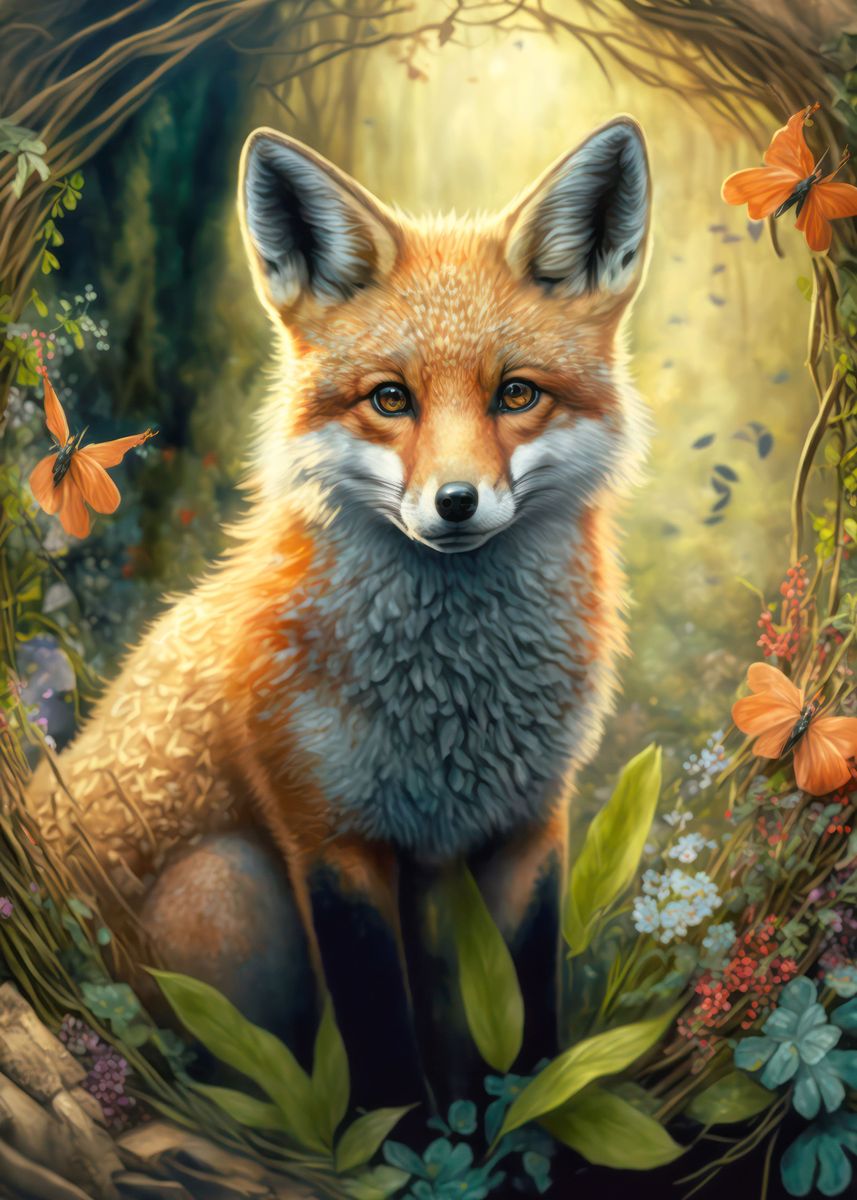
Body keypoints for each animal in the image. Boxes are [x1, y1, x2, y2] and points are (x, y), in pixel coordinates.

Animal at [27, 116, 651, 1108]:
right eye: (390, 399)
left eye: (515, 393)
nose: (455, 503)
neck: (451, 712)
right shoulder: (328, 839)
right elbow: (385, 1060)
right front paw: (407, 1139)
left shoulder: (526, 827)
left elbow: (527, 1043)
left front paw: (522, 1132)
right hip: (230, 883)